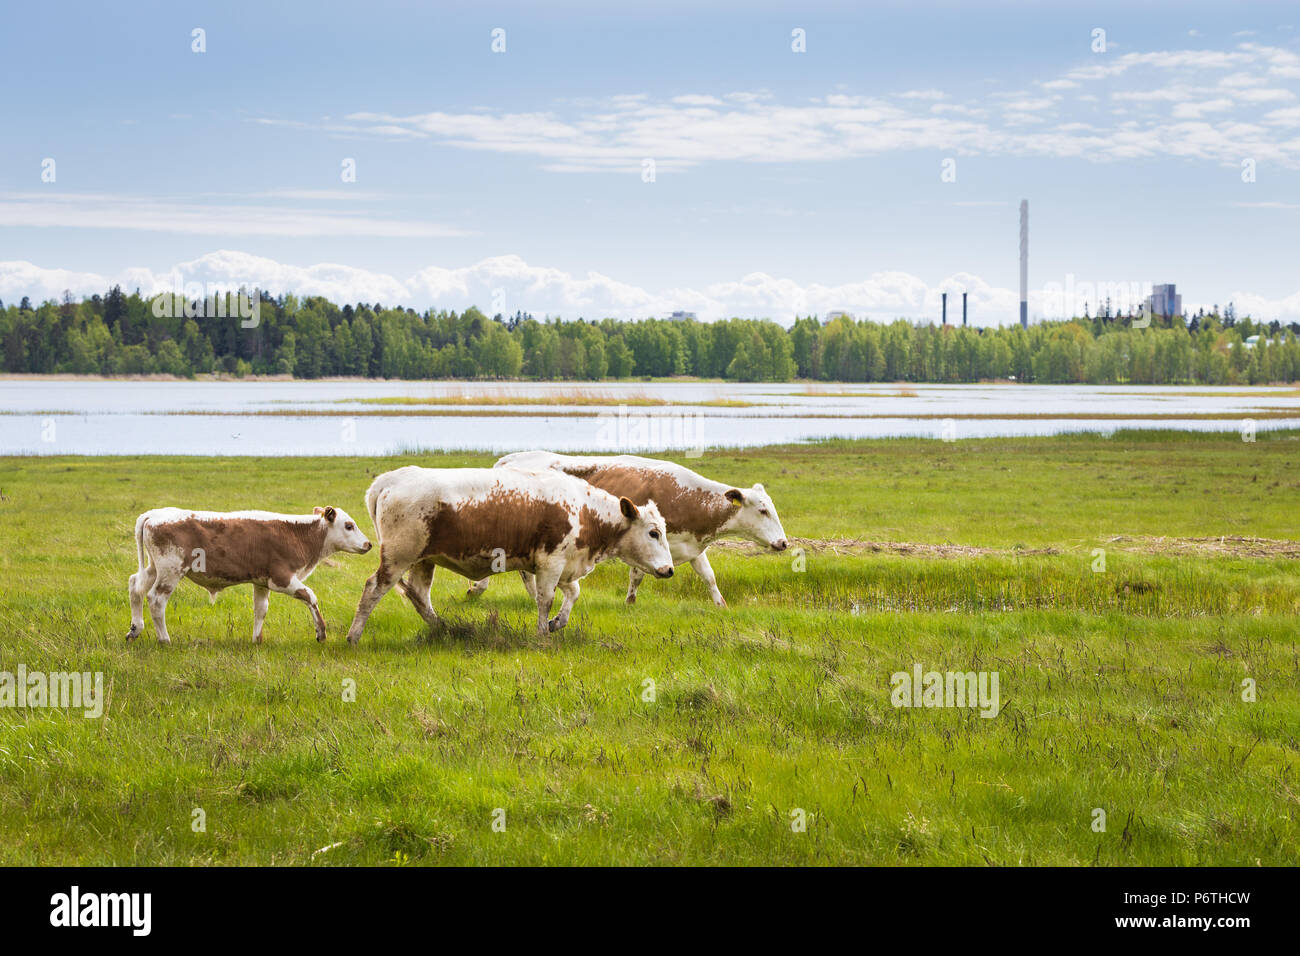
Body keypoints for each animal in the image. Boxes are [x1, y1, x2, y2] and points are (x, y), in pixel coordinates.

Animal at [125, 506, 372, 645]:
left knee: (135, 587)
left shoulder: (261, 582)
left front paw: (256, 640)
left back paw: (135, 629)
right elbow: (310, 596)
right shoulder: (281, 578)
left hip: (155, 568)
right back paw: (164, 639)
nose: (368, 544)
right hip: (171, 571)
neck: (296, 533)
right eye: (348, 525)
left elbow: (260, 609)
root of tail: (153, 515)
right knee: (156, 600)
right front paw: (321, 632)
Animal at [344, 466, 674, 643]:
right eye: (653, 533)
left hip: (424, 561)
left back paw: (444, 629)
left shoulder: (565, 565)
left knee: (419, 595)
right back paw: (354, 636)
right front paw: (542, 634)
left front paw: (557, 622)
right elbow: (545, 599)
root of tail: (391, 479)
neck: (583, 510)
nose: (670, 570)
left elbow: (573, 593)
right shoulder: (550, 563)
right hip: (398, 557)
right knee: (374, 589)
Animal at [468, 452, 788, 607]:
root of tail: (507, 459)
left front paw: (720, 604)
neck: (688, 498)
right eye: (763, 510)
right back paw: (481, 588)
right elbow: (637, 574)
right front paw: (630, 601)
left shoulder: (690, 545)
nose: (784, 543)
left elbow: (708, 576)